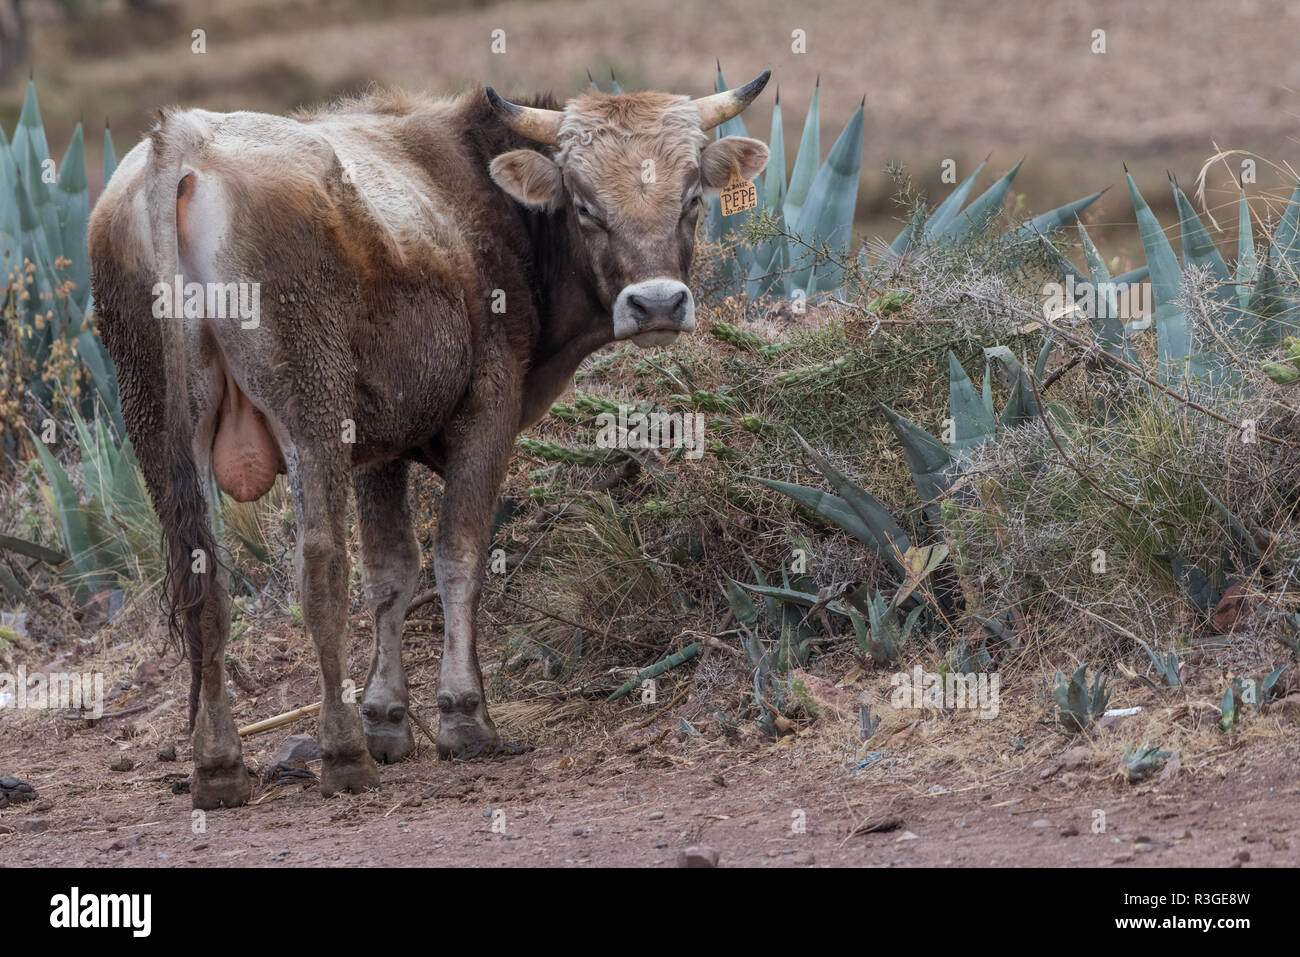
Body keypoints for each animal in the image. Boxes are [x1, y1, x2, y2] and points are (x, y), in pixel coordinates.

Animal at [87, 72, 770, 809]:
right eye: (585, 206)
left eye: (692, 197)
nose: (657, 303)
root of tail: (186, 141)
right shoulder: (486, 417)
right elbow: (456, 557)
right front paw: (462, 715)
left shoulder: (376, 448)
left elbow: (391, 570)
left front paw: (387, 717)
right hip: (309, 409)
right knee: (321, 567)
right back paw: (342, 753)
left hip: (159, 428)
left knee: (203, 581)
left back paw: (218, 766)